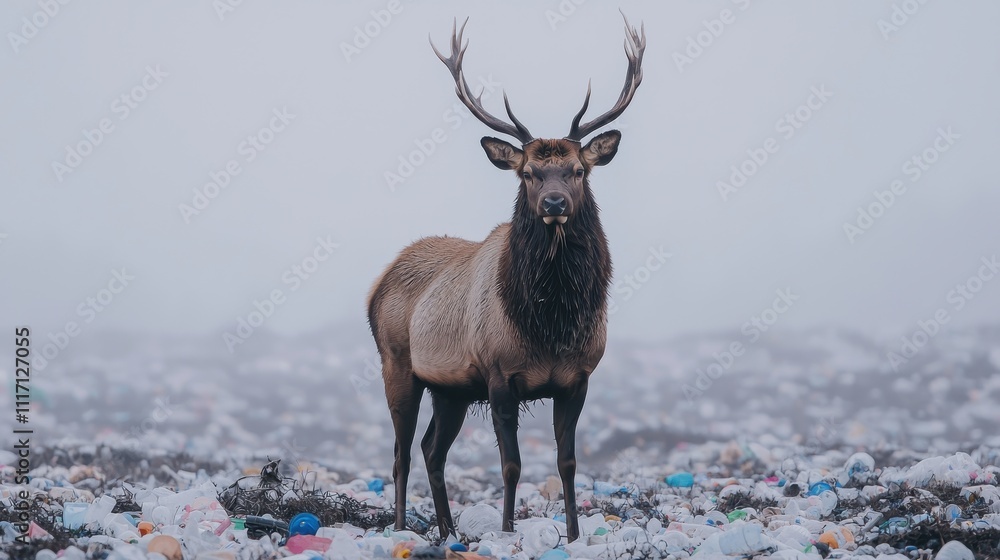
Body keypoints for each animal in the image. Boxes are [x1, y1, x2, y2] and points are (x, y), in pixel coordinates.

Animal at [366, 14, 644, 543]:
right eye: (528, 172)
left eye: (578, 170)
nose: (554, 203)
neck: (549, 326)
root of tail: (378, 282)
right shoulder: (498, 374)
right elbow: (511, 465)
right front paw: (508, 530)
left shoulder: (578, 377)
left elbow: (568, 462)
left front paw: (573, 534)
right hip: (397, 363)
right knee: (400, 454)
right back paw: (400, 527)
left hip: (450, 389)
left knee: (432, 450)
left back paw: (449, 531)